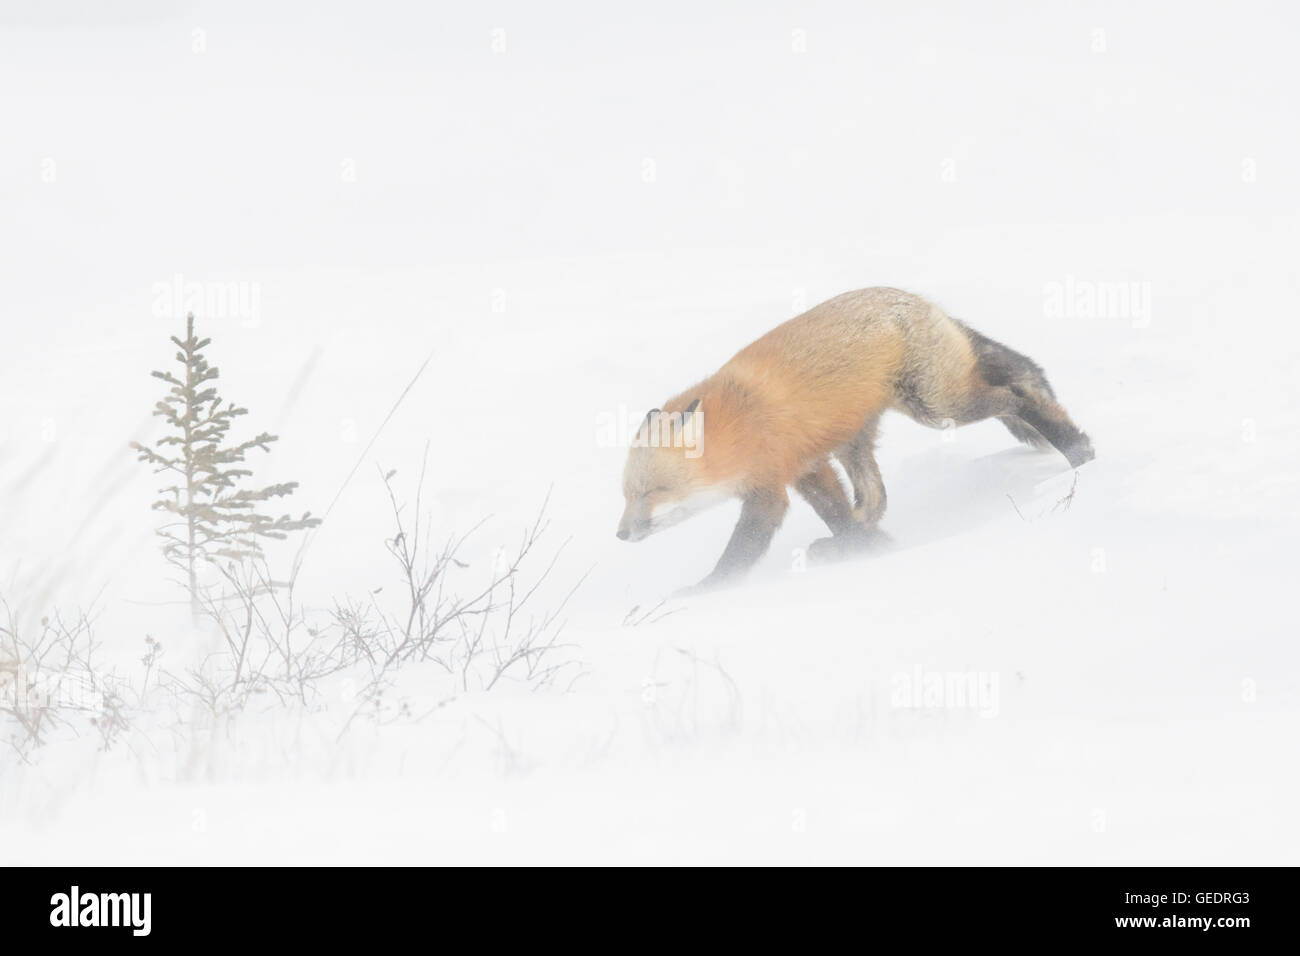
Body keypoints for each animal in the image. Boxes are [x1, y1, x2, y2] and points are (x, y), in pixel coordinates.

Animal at [617, 287, 1094, 593]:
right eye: (627, 495)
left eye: (652, 492)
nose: (620, 534)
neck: (739, 425)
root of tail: (914, 297)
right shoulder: (808, 467)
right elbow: (838, 514)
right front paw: (865, 549)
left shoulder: (770, 488)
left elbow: (742, 549)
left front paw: (709, 589)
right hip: (857, 440)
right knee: (874, 499)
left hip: (938, 407)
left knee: (1017, 395)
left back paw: (1077, 450)